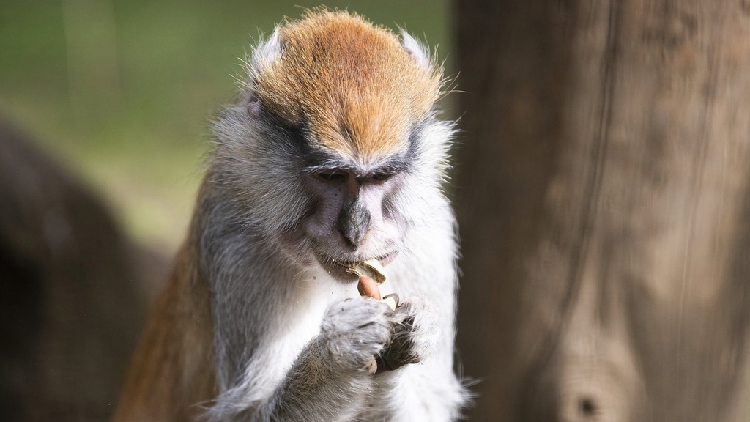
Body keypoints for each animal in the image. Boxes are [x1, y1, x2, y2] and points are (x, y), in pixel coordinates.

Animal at [113, 10, 467, 422]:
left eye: (380, 177)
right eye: (331, 177)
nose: (355, 230)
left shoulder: (432, 238)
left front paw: (411, 333)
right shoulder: (232, 243)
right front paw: (335, 353)